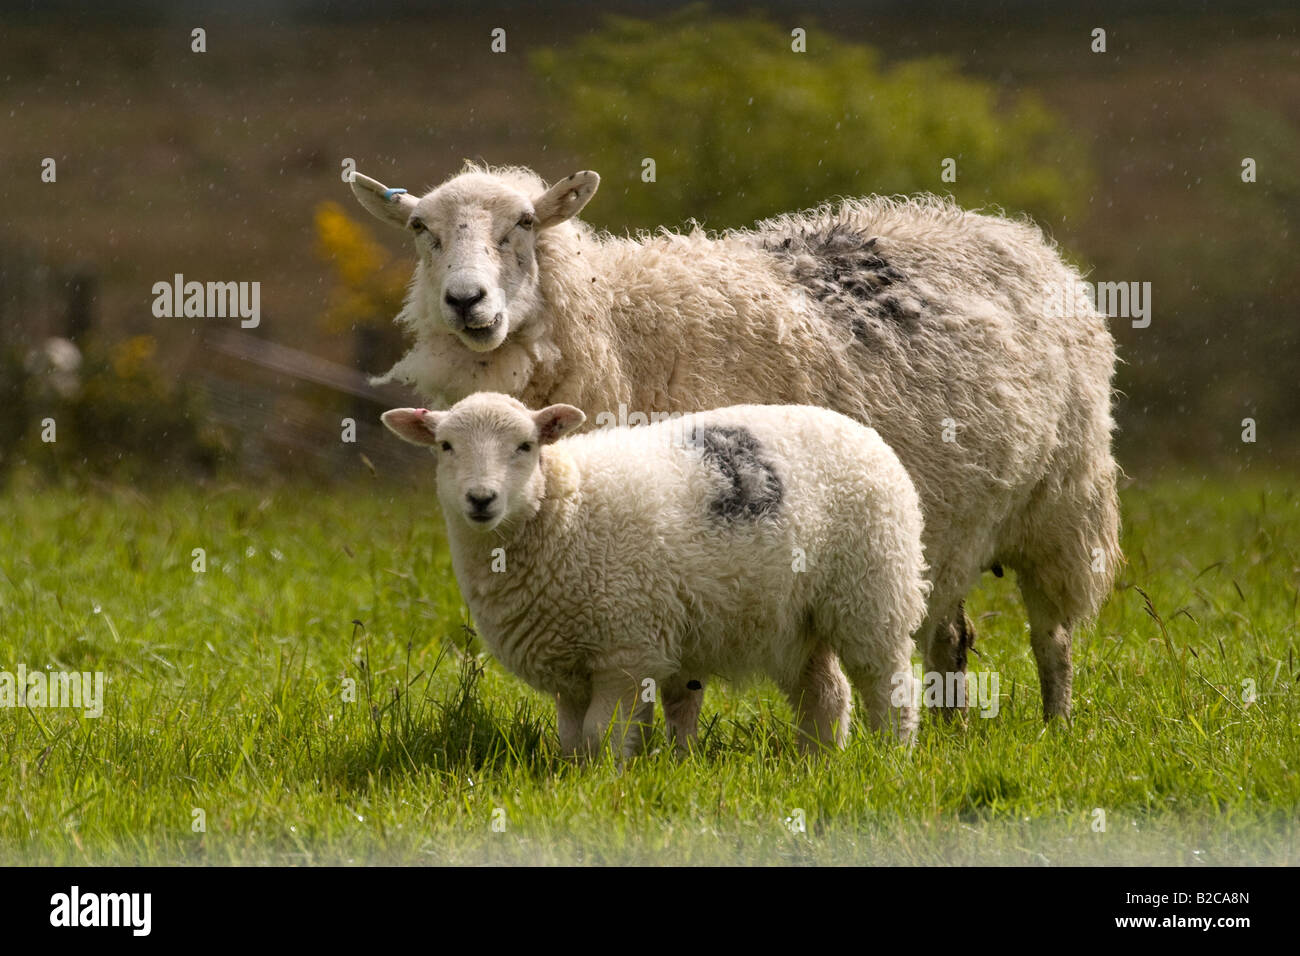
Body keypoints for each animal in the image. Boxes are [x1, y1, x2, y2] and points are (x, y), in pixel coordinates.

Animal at [381, 392, 929, 758]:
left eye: (525, 445)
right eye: (445, 446)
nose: (481, 499)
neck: (567, 507)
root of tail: (856, 428)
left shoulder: (626, 649)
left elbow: (601, 734)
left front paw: (606, 786)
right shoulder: (569, 667)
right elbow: (571, 739)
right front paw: (574, 782)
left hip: (872, 588)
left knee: (889, 685)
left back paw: (889, 759)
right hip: (794, 619)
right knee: (827, 693)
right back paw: (817, 761)